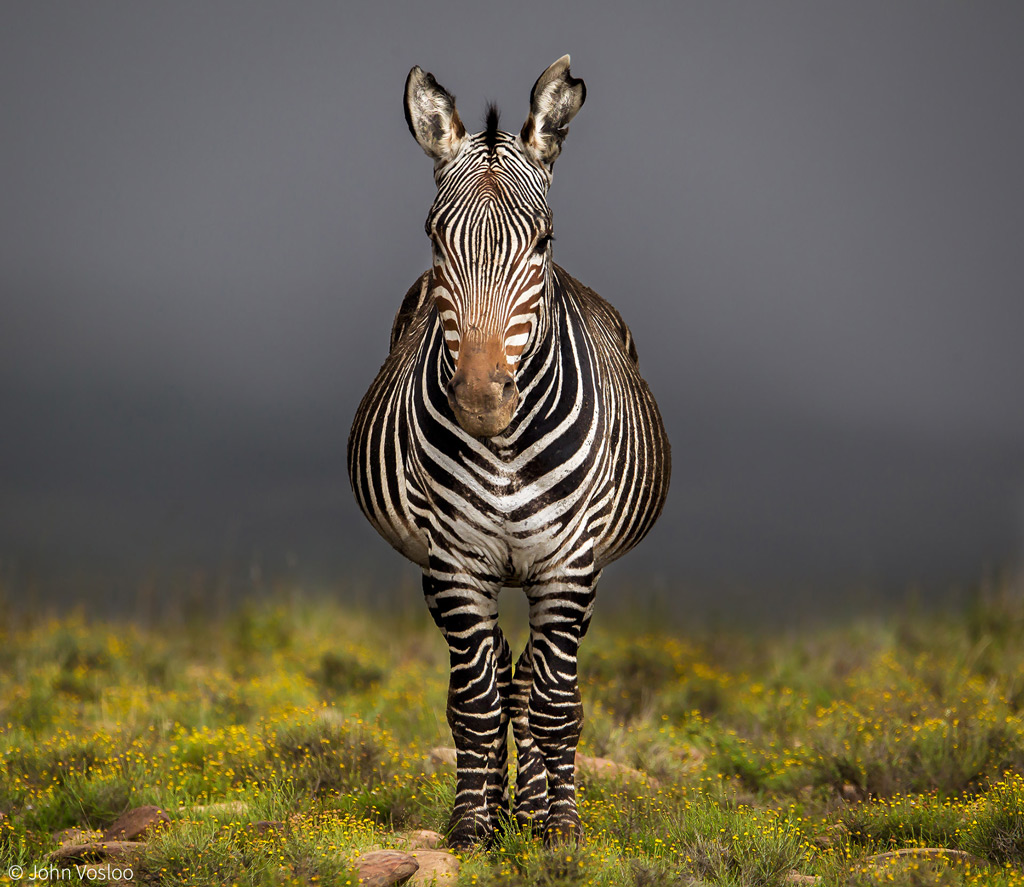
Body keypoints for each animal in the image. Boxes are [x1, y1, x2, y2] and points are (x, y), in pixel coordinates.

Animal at [348, 56, 670, 849]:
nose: (479, 398)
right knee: (495, 674)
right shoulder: (458, 564)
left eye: (545, 241)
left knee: (533, 685)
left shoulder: (568, 565)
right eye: (435, 238)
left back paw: (529, 810)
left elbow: (555, 709)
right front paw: (471, 828)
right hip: (458, 571)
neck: (505, 448)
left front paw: (560, 830)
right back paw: (500, 808)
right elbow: (474, 705)